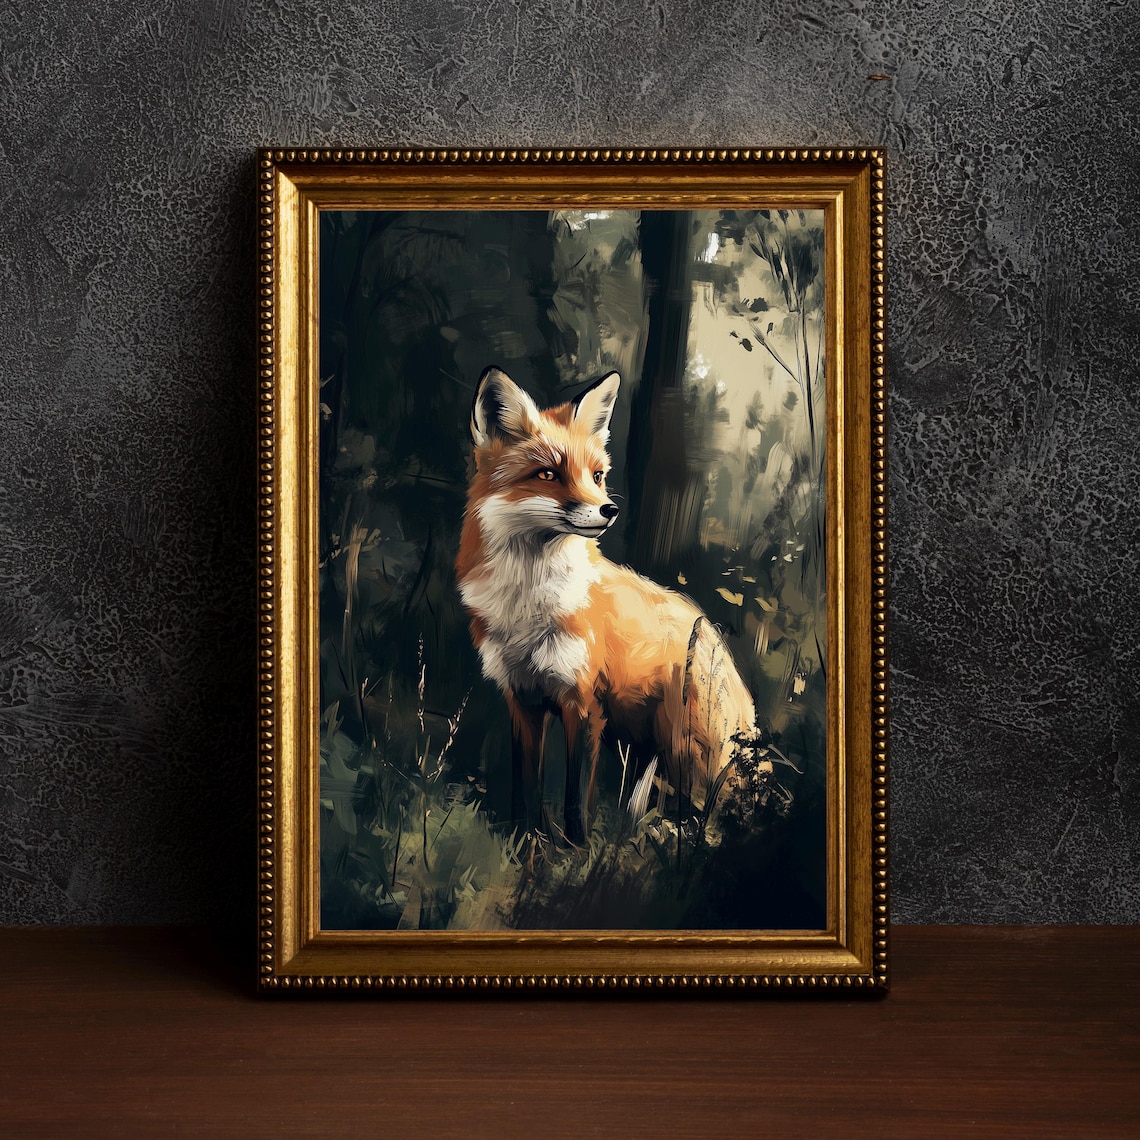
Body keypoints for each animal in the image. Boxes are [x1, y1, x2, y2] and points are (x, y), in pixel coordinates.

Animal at [456, 365, 756, 844]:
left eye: (596, 475)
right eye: (547, 475)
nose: (610, 510)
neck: (529, 603)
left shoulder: (583, 704)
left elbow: (576, 800)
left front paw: (572, 853)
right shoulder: (522, 698)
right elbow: (526, 790)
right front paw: (525, 847)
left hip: (687, 740)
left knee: (714, 815)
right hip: (648, 746)